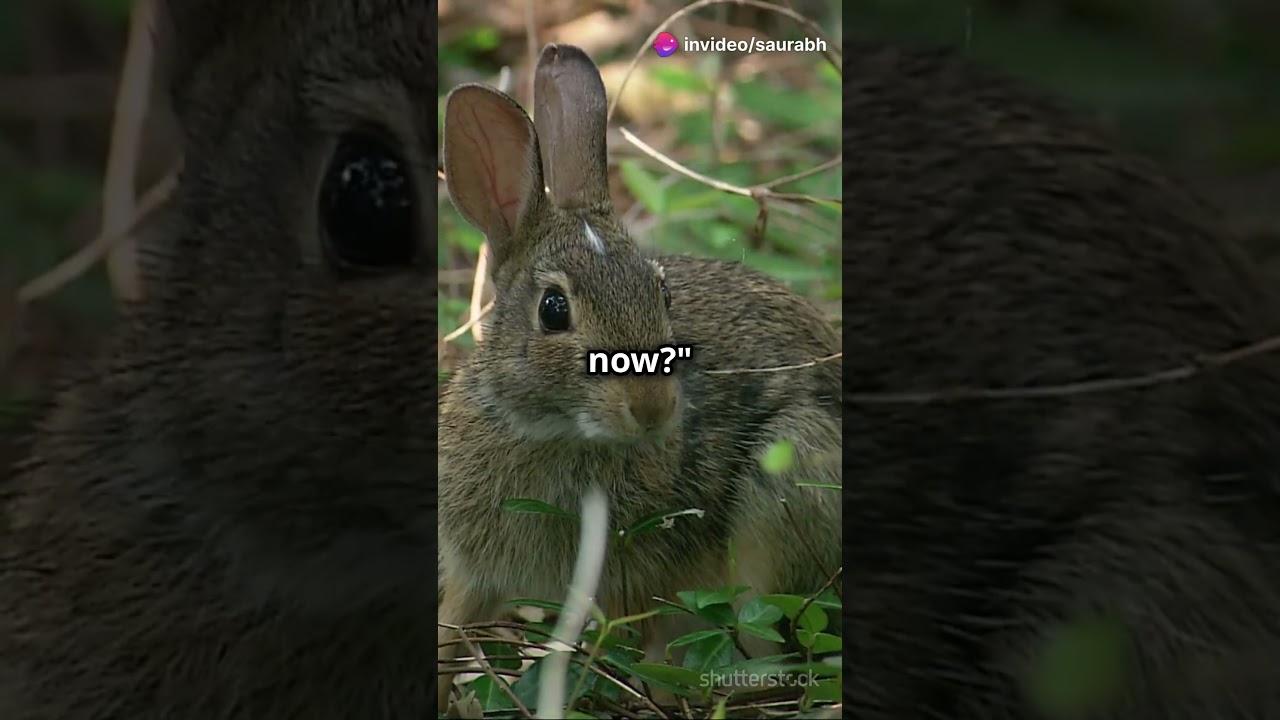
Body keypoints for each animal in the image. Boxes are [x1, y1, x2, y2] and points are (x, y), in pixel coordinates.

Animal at [436, 44, 842, 711]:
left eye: (663, 295)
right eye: (554, 310)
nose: (653, 408)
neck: (547, 429)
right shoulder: (474, 571)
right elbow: (450, 629)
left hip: (790, 478)